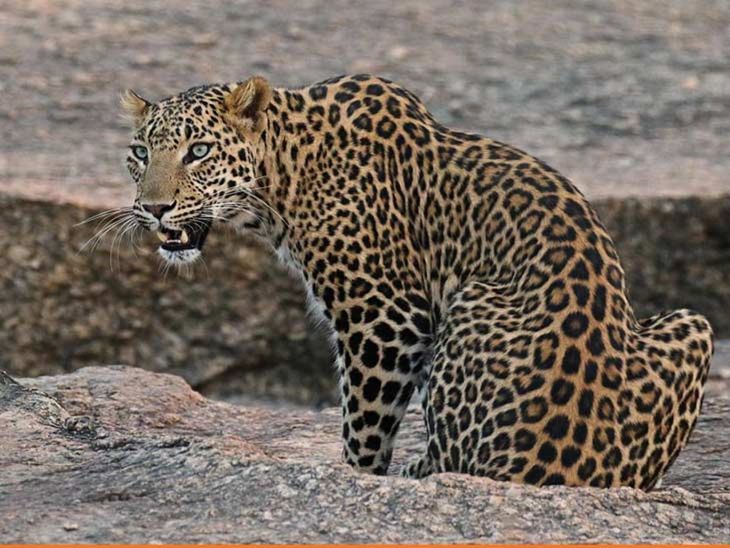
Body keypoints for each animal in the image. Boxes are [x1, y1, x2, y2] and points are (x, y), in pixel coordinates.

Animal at [120, 73, 713, 489]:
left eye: (199, 151)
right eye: (140, 153)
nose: (154, 208)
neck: (288, 171)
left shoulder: (385, 318)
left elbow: (364, 423)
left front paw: (357, 478)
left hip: (473, 300)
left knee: (453, 462)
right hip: (696, 322)